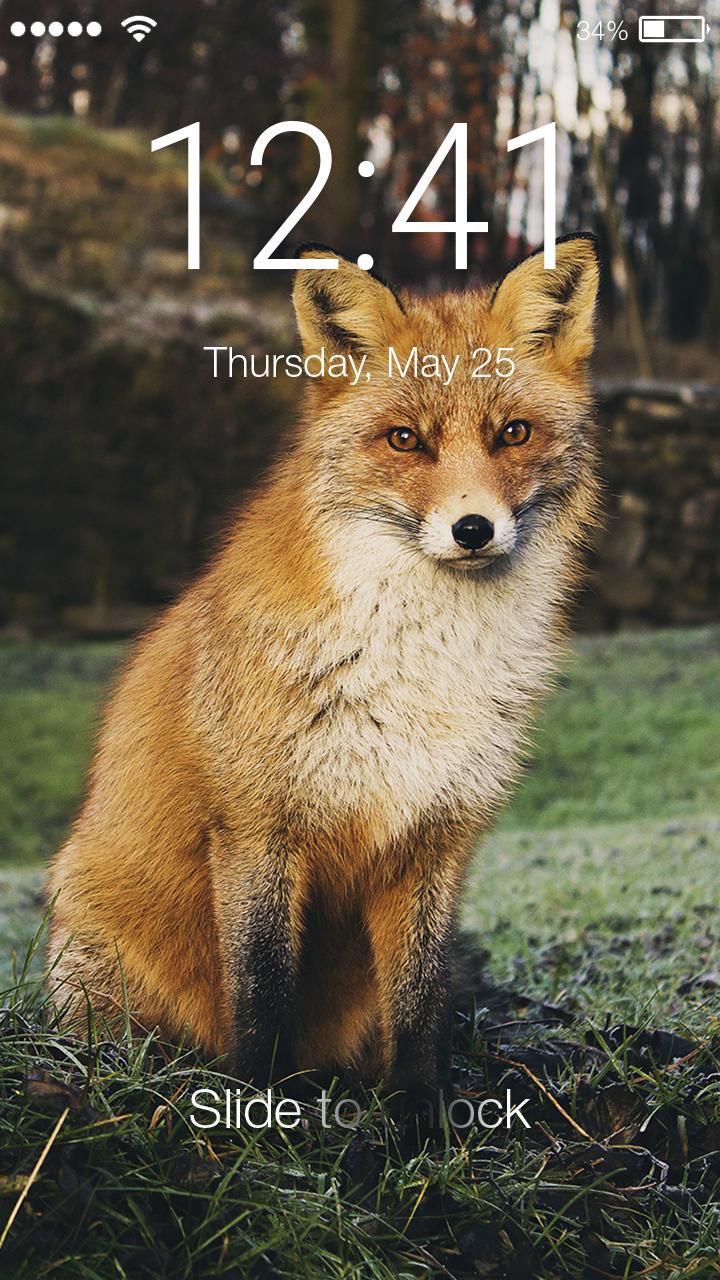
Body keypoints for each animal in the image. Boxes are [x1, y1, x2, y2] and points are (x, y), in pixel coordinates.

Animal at [48, 235, 600, 1100]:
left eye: (513, 433)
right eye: (405, 439)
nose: (473, 529)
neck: (420, 669)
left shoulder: (436, 838)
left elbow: (420, 1006)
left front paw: (419, 1117)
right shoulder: (257, 827)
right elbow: (262, 992)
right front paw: (261, 1107)